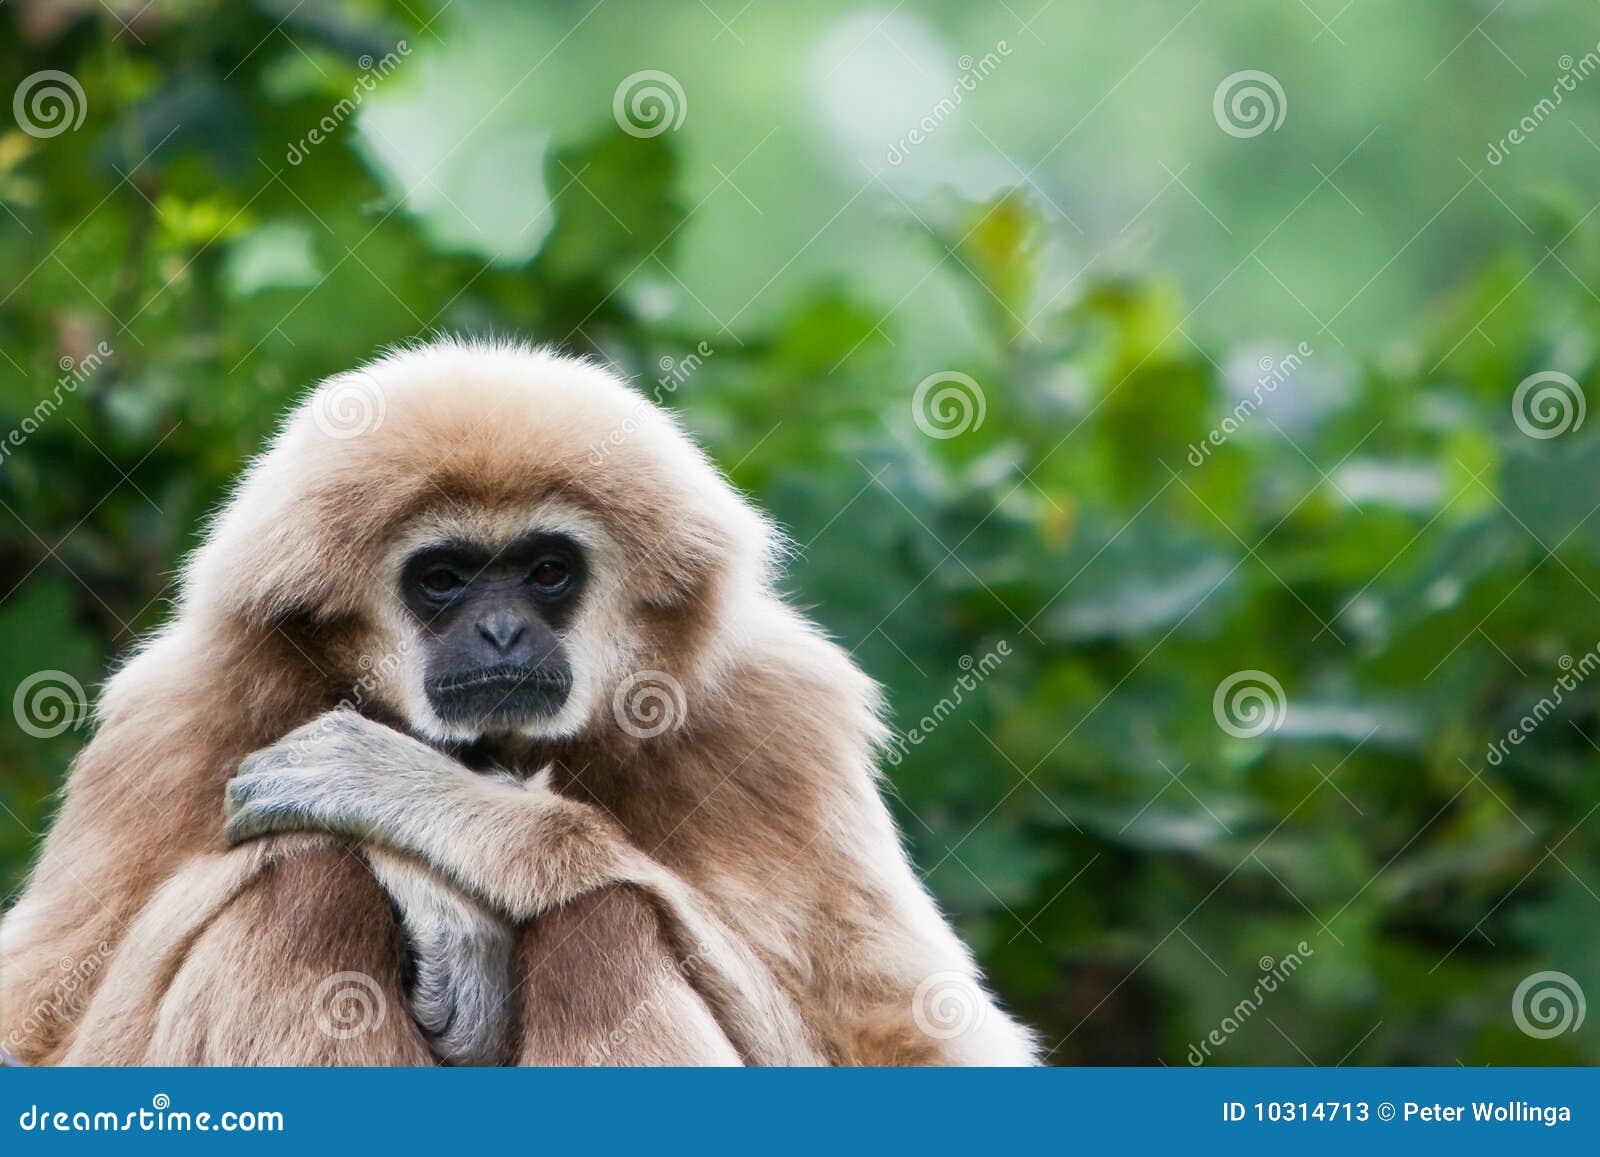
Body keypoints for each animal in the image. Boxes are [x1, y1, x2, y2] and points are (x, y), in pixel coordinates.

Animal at [0, 340, 1039, 1066]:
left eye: (546, 571)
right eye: (444, 579)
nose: (501, 631)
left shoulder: (778, 711)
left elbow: (914, 1046)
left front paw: (437, 816)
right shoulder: (178, 713)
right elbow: (41, 1040)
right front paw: (438, 889)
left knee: (601, 922)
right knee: (305, 878)